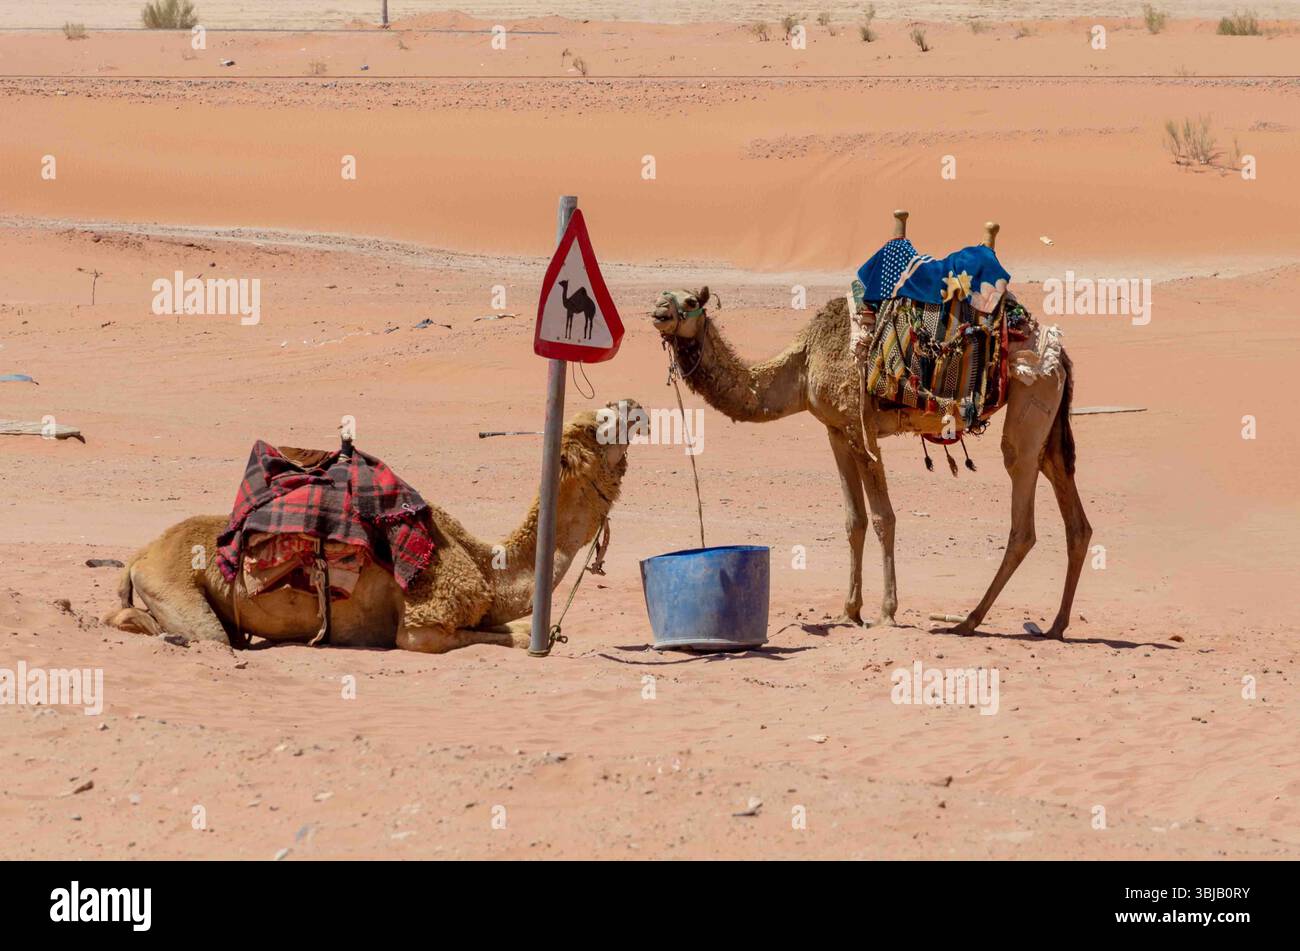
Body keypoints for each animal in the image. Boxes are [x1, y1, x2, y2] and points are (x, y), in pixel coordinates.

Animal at [102, 402, 637, 653]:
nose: (634, 405)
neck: (488, 566)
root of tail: (138, 556)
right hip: (177, 594)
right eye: (595, 424)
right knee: (188, 632)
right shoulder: (420, 627)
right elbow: (500, 636)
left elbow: (514, 627)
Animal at [652, 216, 1091, 639]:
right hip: (1050, 423)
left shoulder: (859, 429)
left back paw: (969, 621)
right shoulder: (835, 431)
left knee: (1022, 512)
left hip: (1032, 394)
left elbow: (883, 518)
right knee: (1075, 519)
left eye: (689, 301)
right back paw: (1055, 625)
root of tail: (1060, 354)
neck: (804, 364)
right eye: (662, 296)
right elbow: (854, 520)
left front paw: (886, 612)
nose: (658, 311)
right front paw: (850, 611)